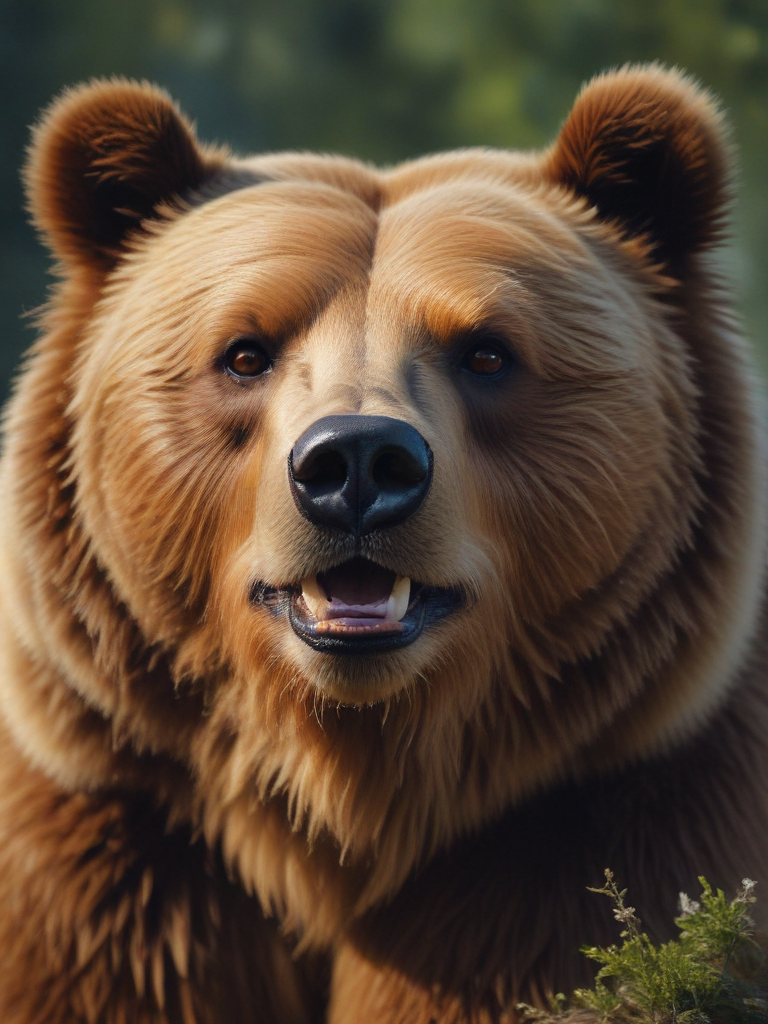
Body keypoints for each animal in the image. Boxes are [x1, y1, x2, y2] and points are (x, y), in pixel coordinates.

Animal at [0, 62, 766, 1023]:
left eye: (488, 352)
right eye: (244, 352)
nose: (357, 462)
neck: (350, 789)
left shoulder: (608, 826)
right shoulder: (114, 857)